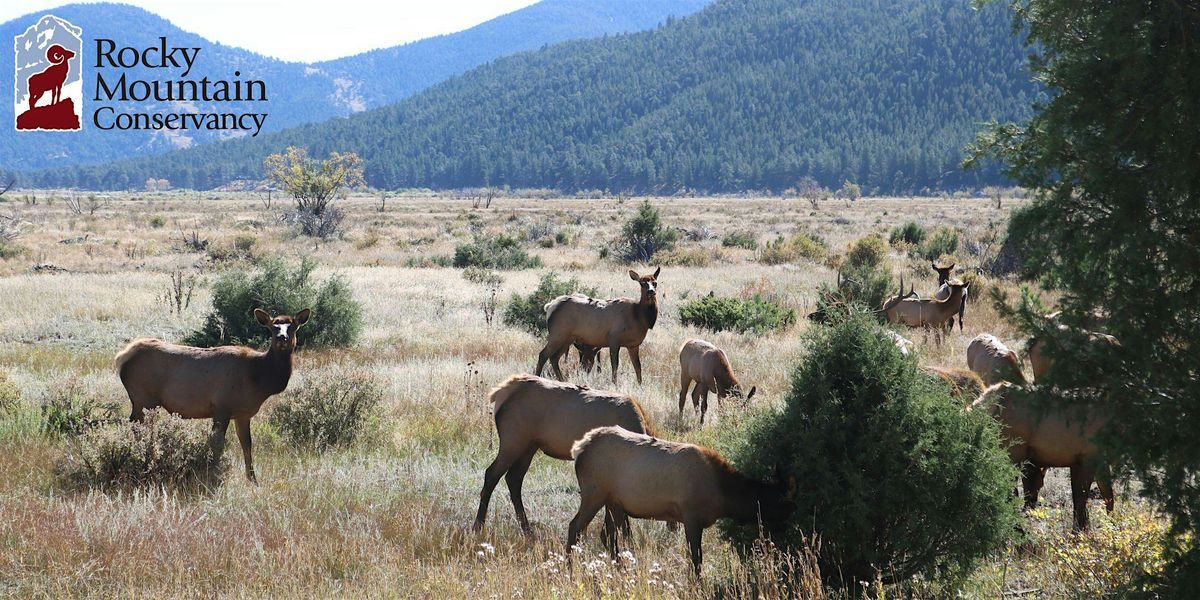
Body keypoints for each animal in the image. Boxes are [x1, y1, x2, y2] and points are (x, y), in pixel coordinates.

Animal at [114, 308, 311, 482]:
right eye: (273, 327)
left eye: (293, 327)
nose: (282, 338)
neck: (258, 379)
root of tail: (121, 357)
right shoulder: (222, 406)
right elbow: (217, 443)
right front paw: (214, 475)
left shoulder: (243, 414)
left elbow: (247, 444)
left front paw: (253, 479)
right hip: (143, 398)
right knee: (136, 425)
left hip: (144, 402)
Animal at [474, 374, 655, 536]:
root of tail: (500, 393)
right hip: (513, 440)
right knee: (492, 474)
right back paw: (478, 526)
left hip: (529, 446)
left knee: (513, 478)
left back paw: (526, 529)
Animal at [568, 426, 794, 576]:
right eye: (783, 503)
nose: (791, 520)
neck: (723, 496)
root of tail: (579, 448)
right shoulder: (691, 516)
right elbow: (696, 559)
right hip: (594, 493)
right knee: (575, 526)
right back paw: (570, 569)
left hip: (613, 501)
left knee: (607, 535)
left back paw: (621, 569)